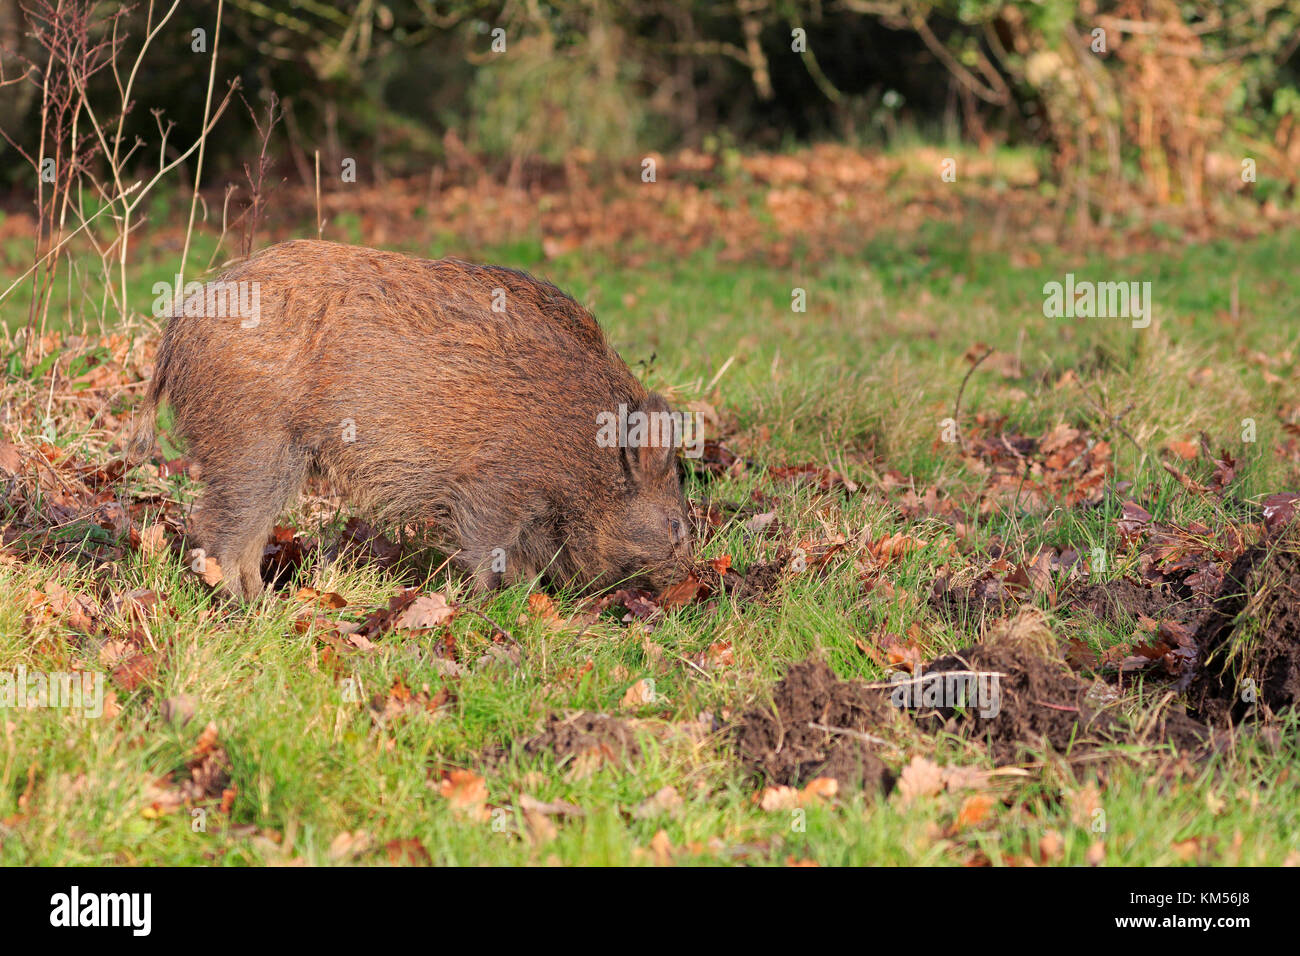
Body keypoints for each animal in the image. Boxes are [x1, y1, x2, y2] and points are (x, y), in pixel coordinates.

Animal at [132, 240, 693, 599]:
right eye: (677, 526)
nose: (693, 586)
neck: (584, 452)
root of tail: (177, 330)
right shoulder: (493, 484)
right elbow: (486, 552)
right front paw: (482, 605)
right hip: (253, 445)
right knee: (218, 532)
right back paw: (247, 612)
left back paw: (267, 606)